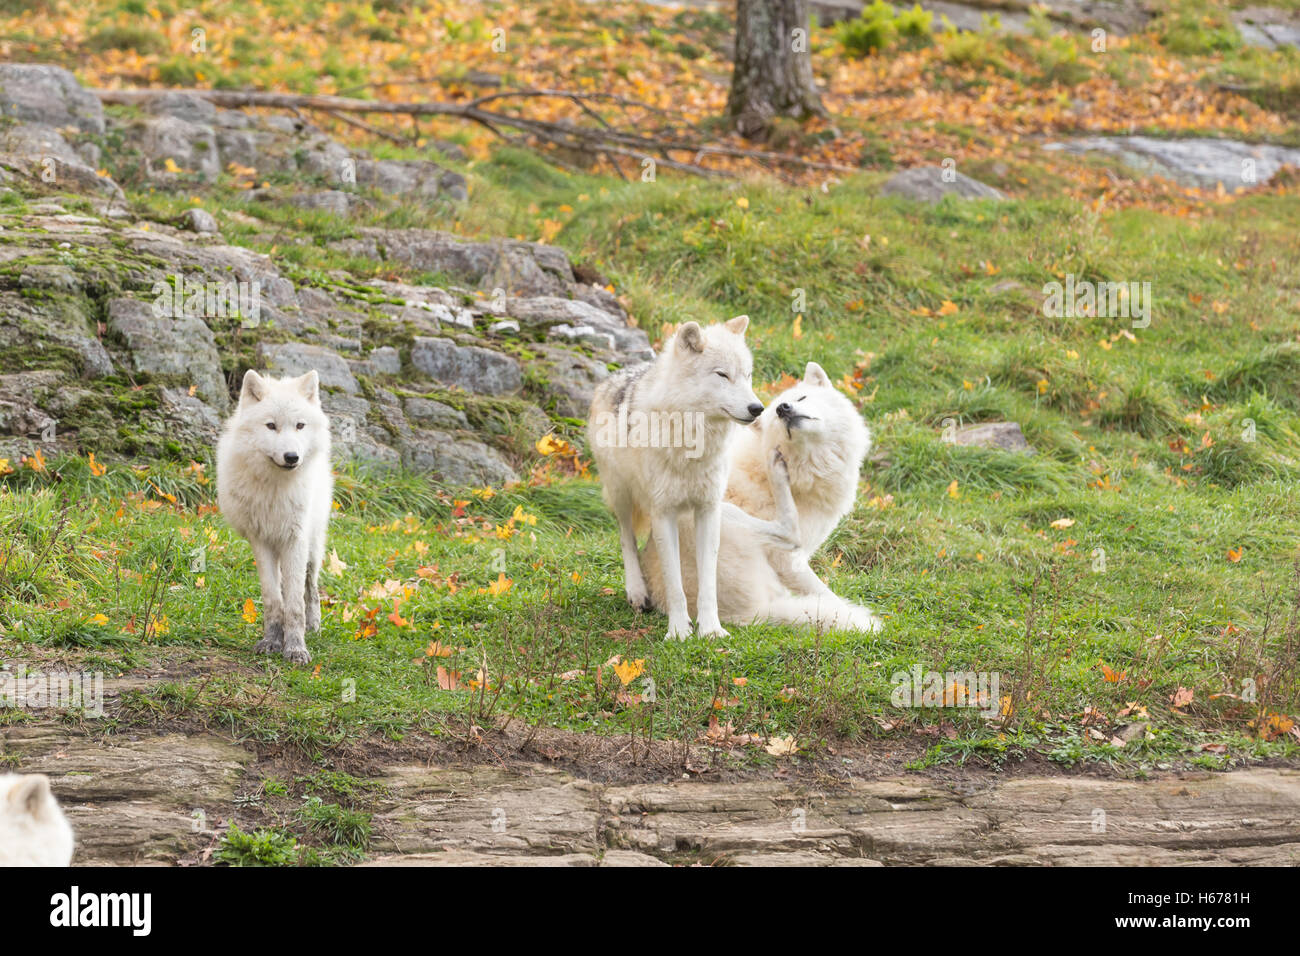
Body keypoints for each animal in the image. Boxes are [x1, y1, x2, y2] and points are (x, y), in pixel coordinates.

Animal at [216, 369, 333, 665]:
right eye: (271, 426)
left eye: (300, 426)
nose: (292, 457)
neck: (275, 488)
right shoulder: (260, 540)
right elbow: (273, 598)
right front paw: (272, 641)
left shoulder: (295, 540)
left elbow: (294, 603)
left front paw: (296, 648)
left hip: (312, 548)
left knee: (311, 588)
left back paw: (314, 625)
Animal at [588, 315, 764, 639]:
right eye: (722, 375)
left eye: (747, 376)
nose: (757, 408)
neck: (693, 442)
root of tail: (615, 375)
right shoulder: (664, 512)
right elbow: (674, 583)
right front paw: (679, 631)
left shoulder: (708, 510)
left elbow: (708, 581)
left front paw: (710, 629)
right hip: (621, 495)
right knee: (627, 540)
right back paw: (637, 592)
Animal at [641, 361, 881, 633]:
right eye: (776, 417)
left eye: (801, 398)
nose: (782, 408)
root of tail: (754, 612)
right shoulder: (790, 562)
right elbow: (825, 593)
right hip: (721, 519)